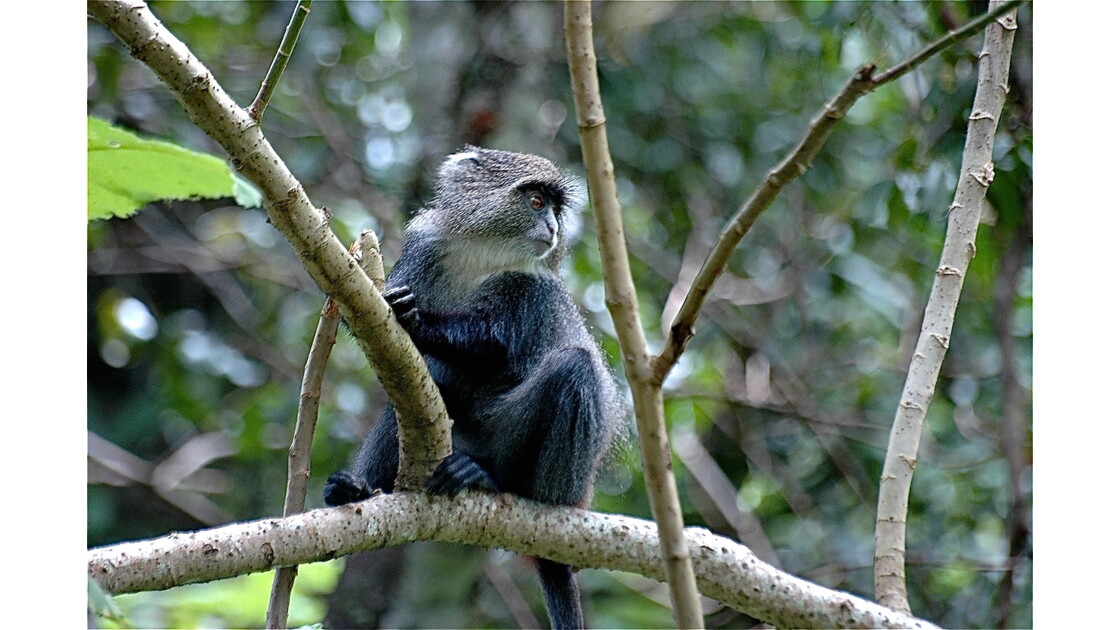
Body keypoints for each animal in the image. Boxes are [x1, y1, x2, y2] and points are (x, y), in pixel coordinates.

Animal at [324, 146, 626, 629]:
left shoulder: (530, 289)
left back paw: (496, 481)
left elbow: (494, 347)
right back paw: (354, 492)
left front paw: (420, 322)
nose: (553, 228)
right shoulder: (426, 247)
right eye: (537, 202)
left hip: (548, 471)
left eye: (554, 209)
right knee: (410, 404)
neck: (484, 251)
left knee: (573, 368)